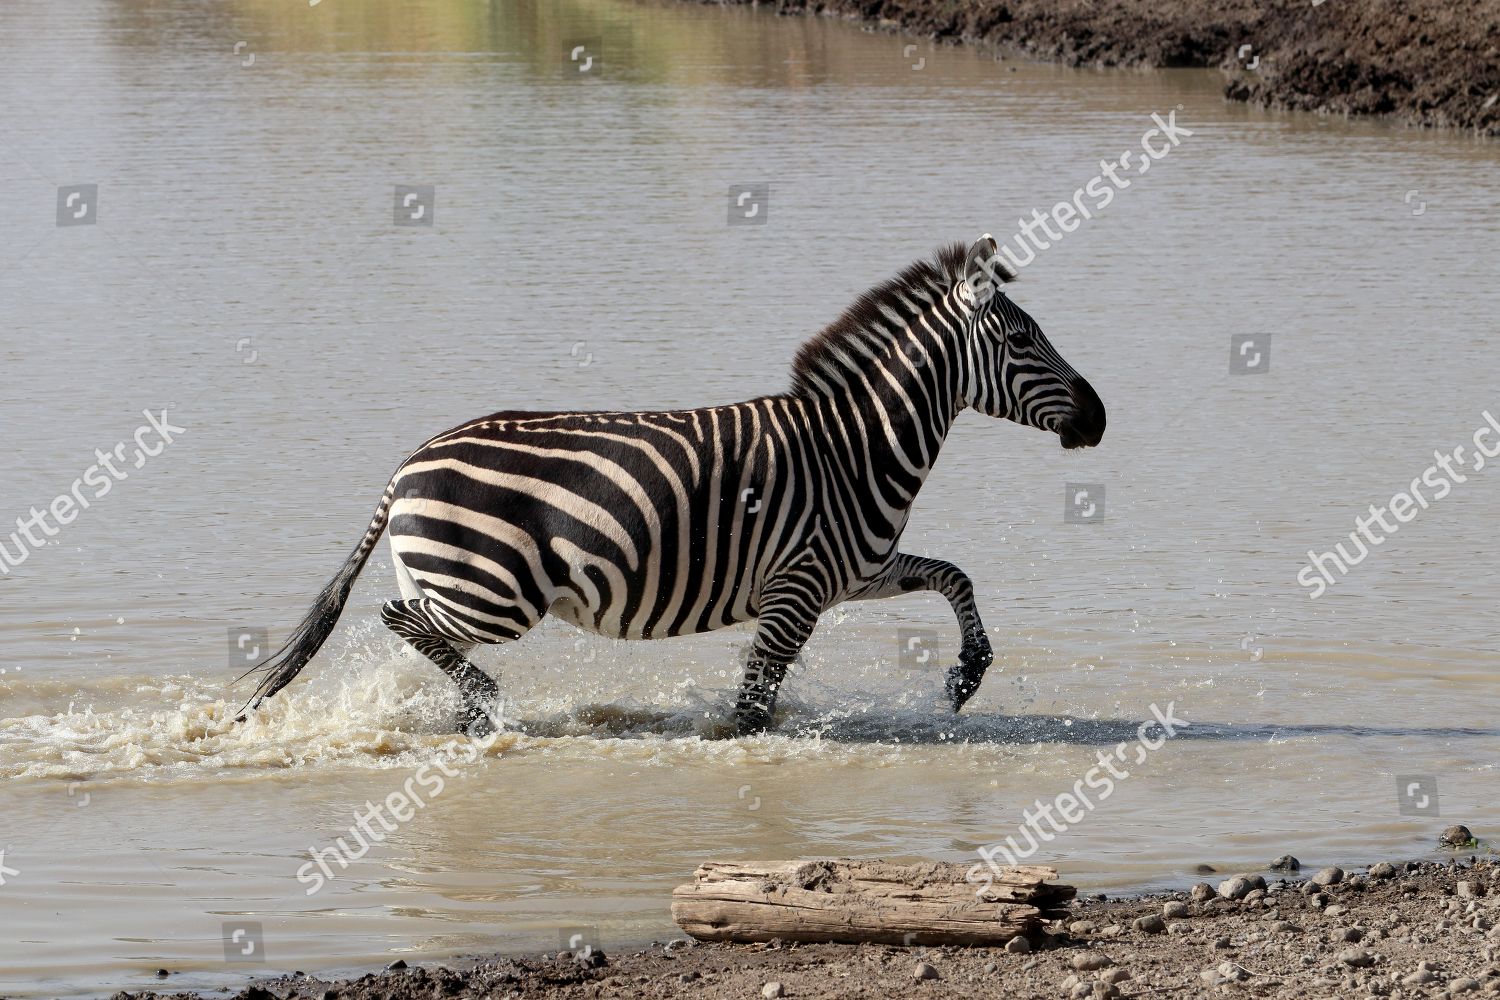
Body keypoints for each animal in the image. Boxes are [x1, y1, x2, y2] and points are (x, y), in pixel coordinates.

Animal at [239, 236, 1105, 736]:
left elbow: (955, 576)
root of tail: (406, 466)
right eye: (1024, 339)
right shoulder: (797, 590)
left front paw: (965, 677)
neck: (855, 447)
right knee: (403, 620)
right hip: (490, 589)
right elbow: (753, 704)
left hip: (457, 581)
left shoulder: (853, 571)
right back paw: (485, 704)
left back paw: (469, 710)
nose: (1099, 418)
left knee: (420, 629)